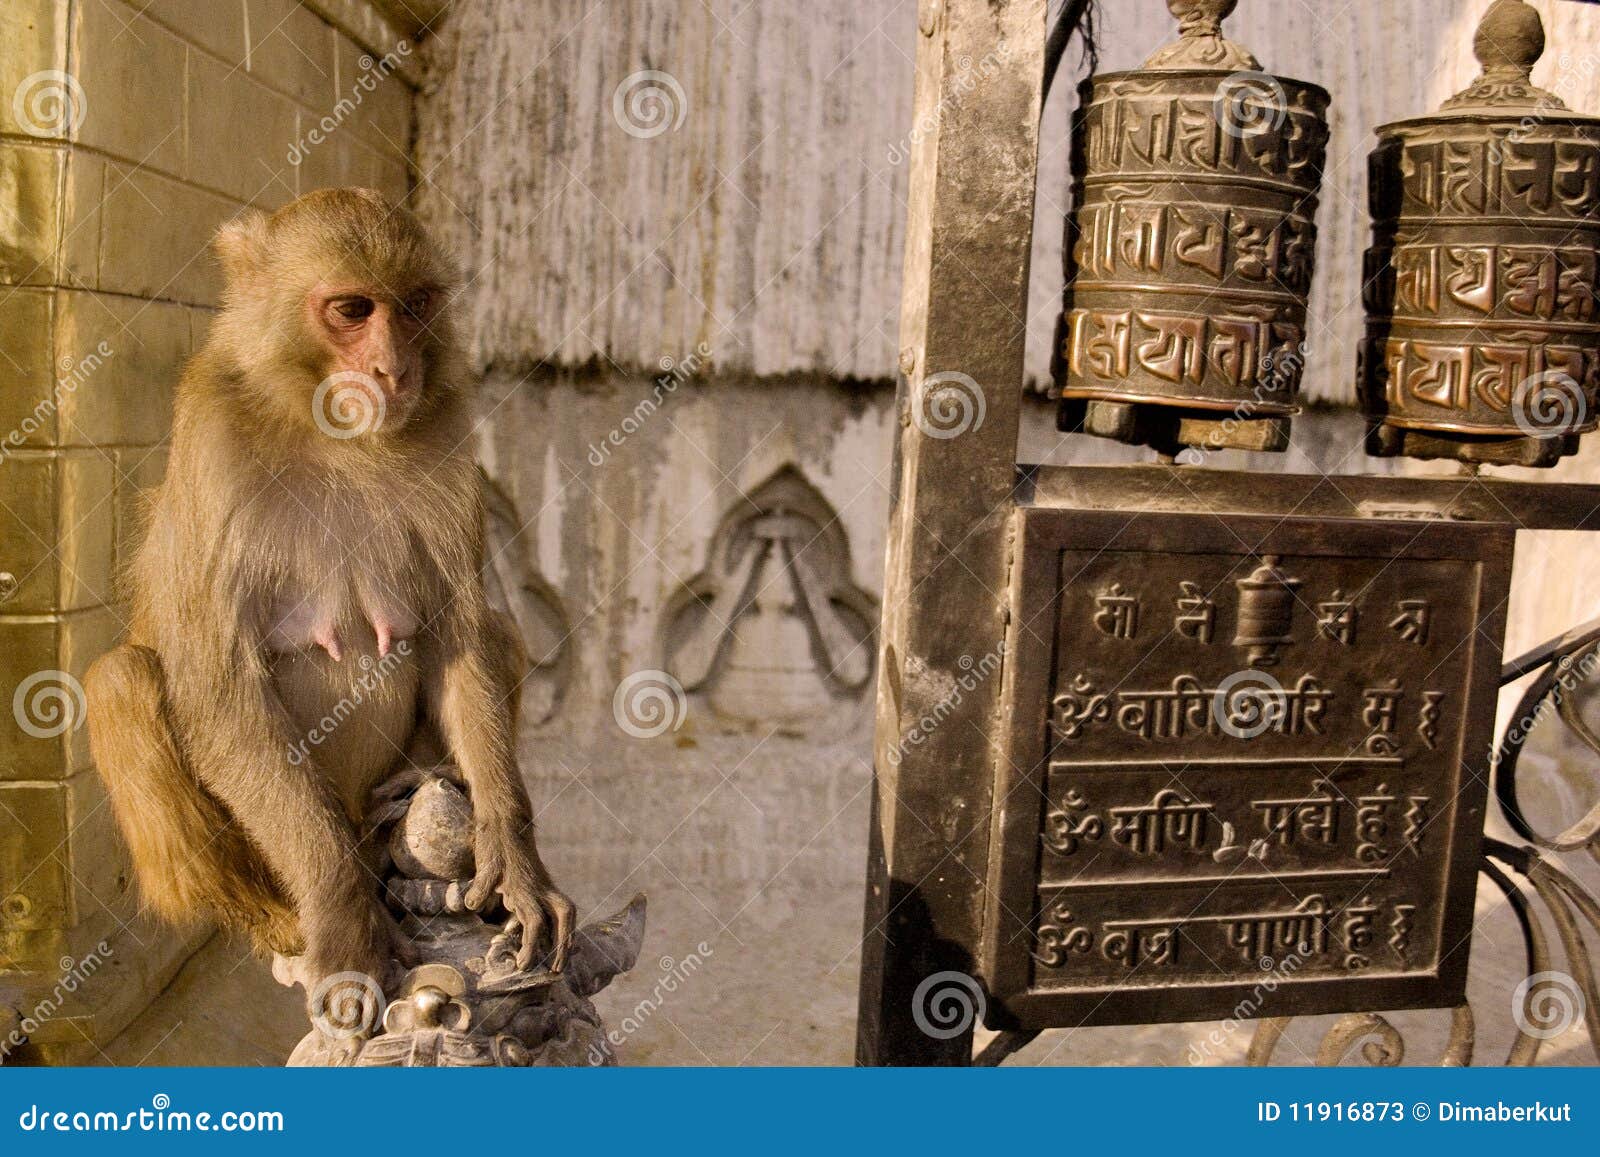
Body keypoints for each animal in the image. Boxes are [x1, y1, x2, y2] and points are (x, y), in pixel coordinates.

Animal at [85, 188, 575, 1018]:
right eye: (351, 308)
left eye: (415, 305)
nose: (394, 367)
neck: (327, 427)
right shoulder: (211, 436)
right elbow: (219, 690)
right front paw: (343, 923)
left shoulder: (448, 426)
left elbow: (456, 637)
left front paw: (513, 852)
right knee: (122, 678)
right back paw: (281, 921)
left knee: (499, 632)